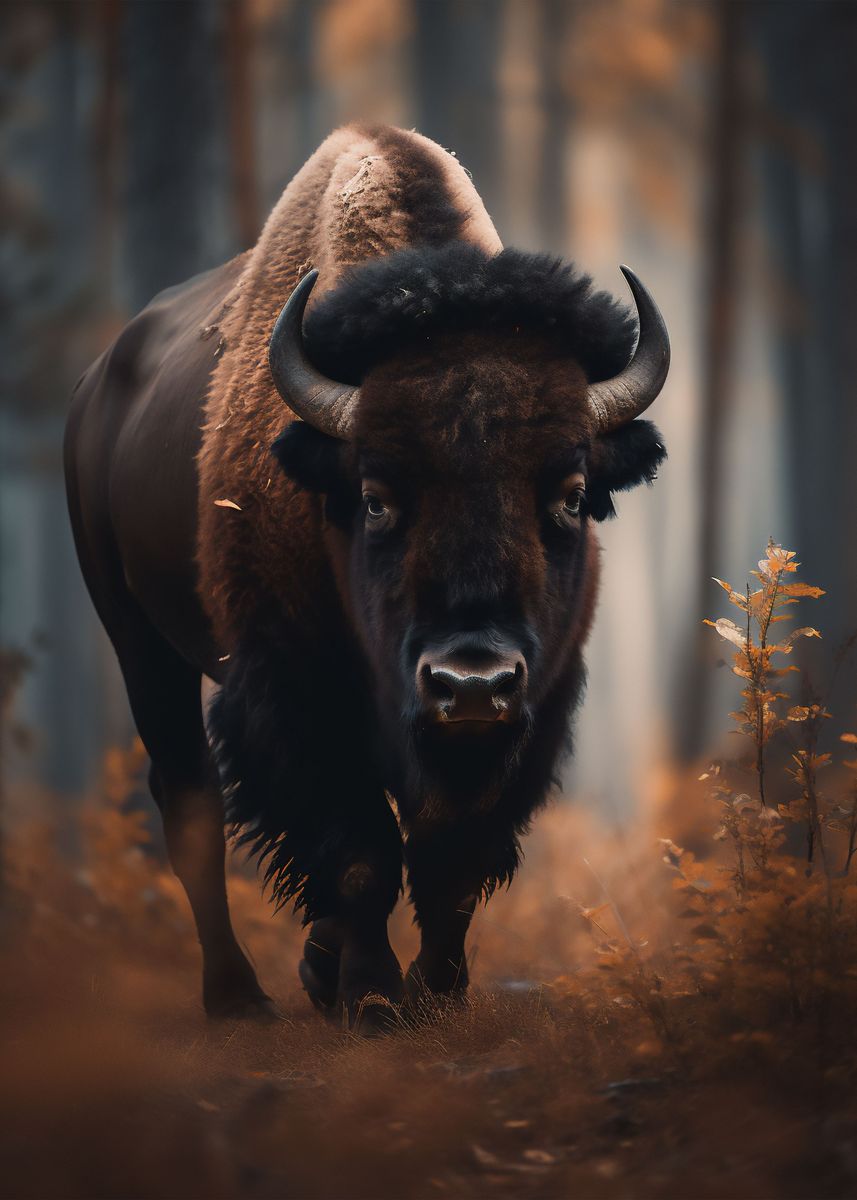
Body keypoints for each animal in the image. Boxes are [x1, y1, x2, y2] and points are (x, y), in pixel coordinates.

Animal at [64, 123, 669, 1030]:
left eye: (569, 494)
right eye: (376, 496)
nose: (471, 681)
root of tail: (96, 387)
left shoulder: (532, 706)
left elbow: (452, 854)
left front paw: (435, 990)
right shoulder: (297, 687)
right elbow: (359, 850)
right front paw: (373, 997)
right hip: (137, 636)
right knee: (190, 803)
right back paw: (237, 996)